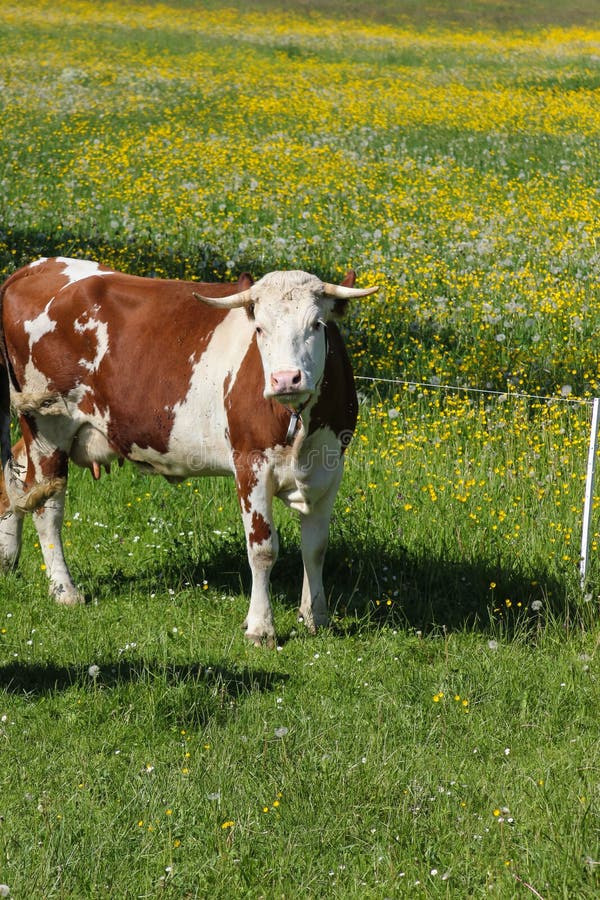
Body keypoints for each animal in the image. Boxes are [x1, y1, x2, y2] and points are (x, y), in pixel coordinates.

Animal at [0, 257, 377, 646]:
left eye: (317, 325)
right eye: (259, 328)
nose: (286, 379)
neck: (300, 426)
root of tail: (36, 267)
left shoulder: (330, 465)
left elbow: (315, 547)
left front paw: (316, 617)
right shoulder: (250, 463)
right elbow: (262, 549)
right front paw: (260, 627)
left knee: (15, 480)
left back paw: (7, 560)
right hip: (47, 426)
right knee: (47, 508)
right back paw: (64, 590)